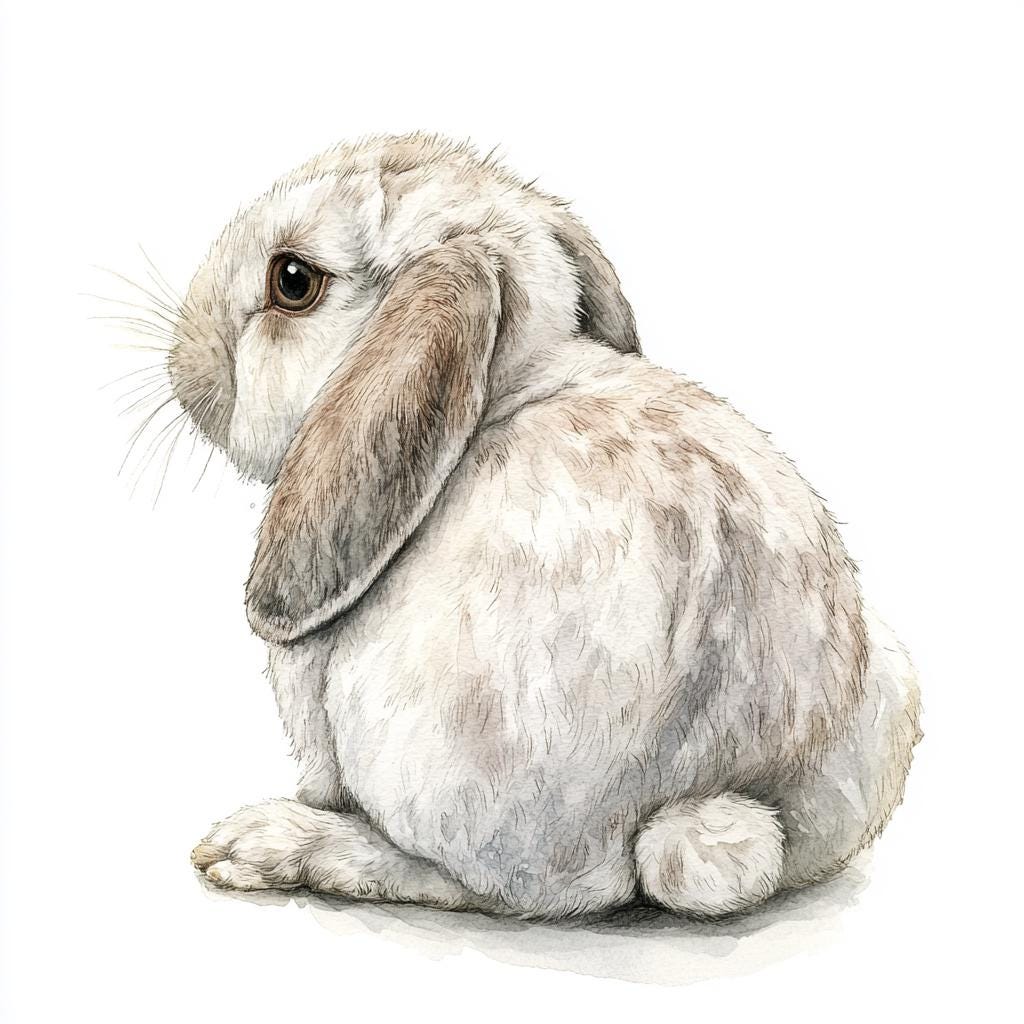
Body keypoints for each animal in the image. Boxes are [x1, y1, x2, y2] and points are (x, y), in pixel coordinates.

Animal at [173, 133, 921, 919]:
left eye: (292, 281)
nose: (185, 364)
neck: (499, 393)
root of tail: (724, 784)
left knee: (511, 887)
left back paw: (270, 845)